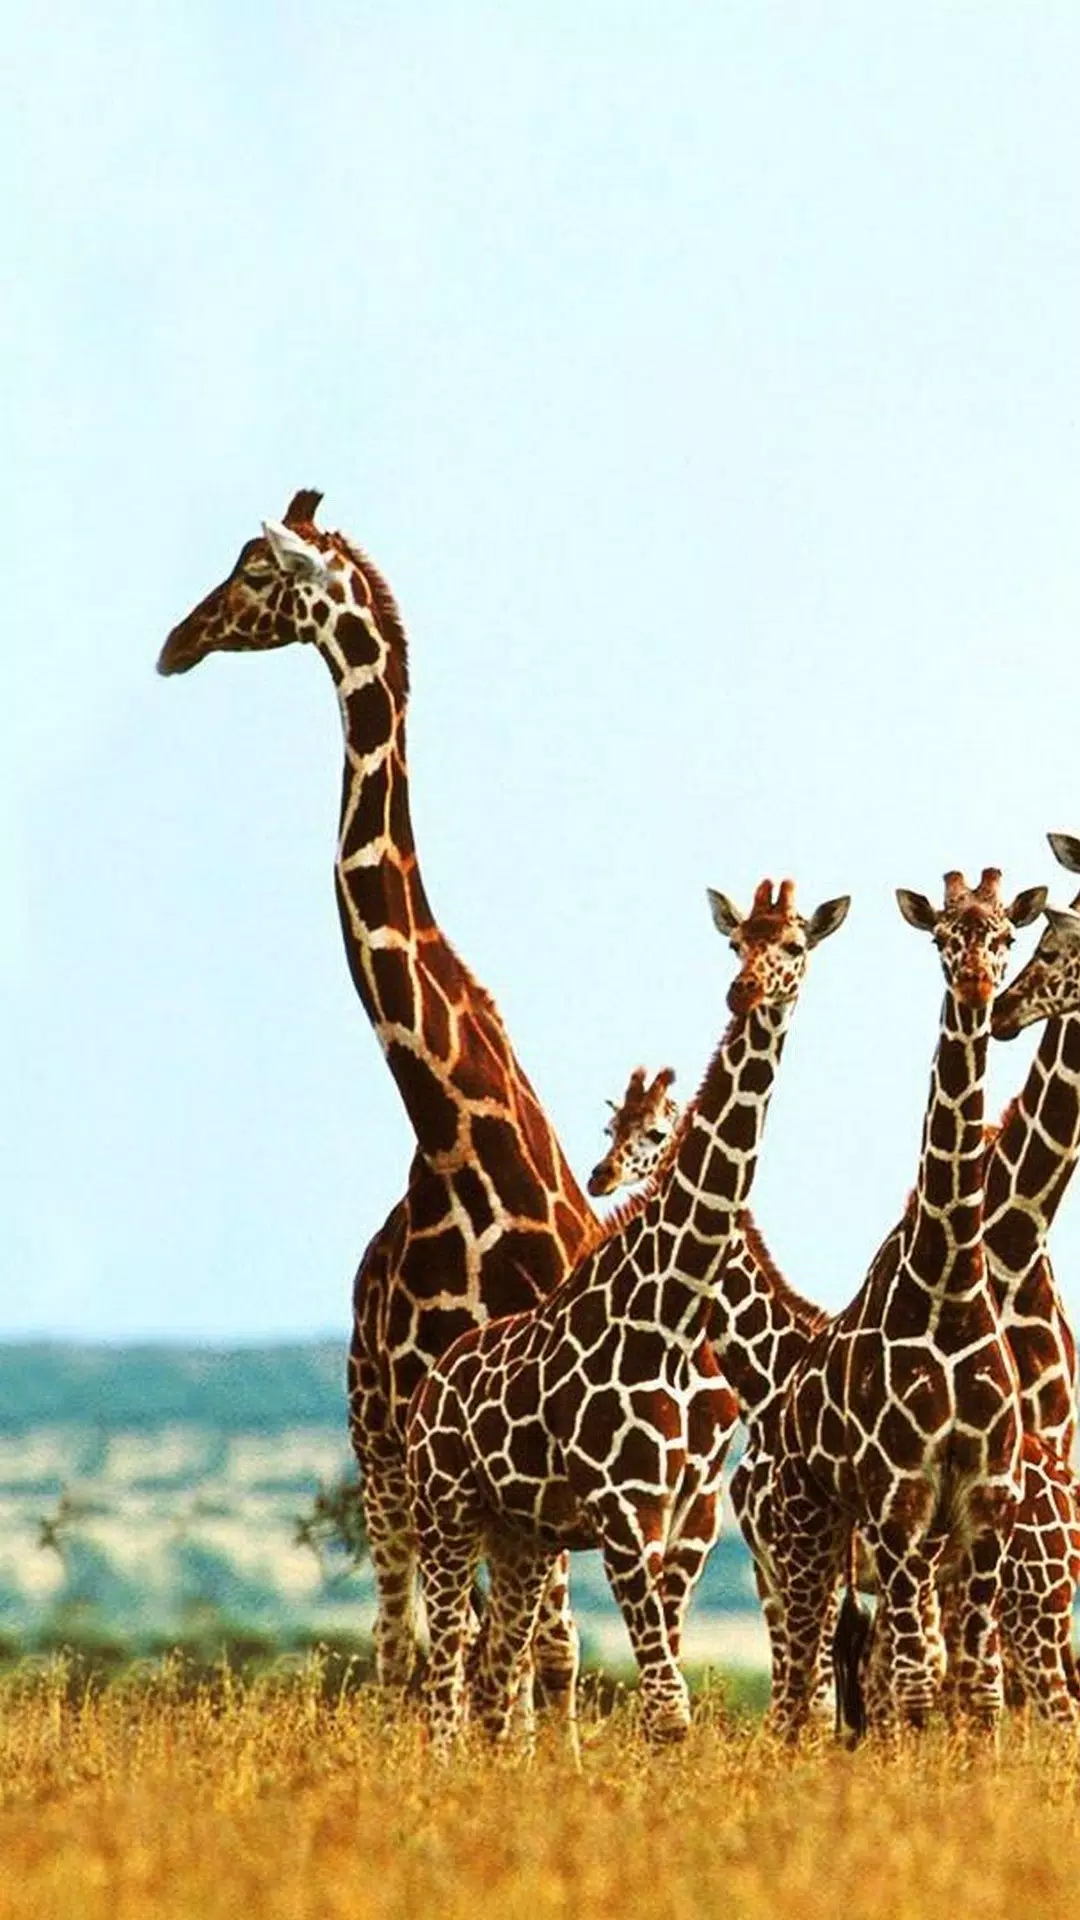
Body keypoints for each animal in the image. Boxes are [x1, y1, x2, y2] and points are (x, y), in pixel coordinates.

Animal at [158, 491, 598, 1714]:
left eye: (257, 570)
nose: (177, 642)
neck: (455, 1141)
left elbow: (526, 1667)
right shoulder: (428, 1445)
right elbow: (454, 1665)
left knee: (519, 1651)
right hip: (381, 1451)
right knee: (412, 1648)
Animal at [762, 869, 1046, 1739]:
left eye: (1006, 935)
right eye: (942, 938)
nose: (979, 985)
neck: (950, 1286)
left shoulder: (985, 1504)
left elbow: (977, 1689)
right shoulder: (899, 1499)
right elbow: (918, 1688)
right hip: (809, 1519)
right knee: (800, 1682)